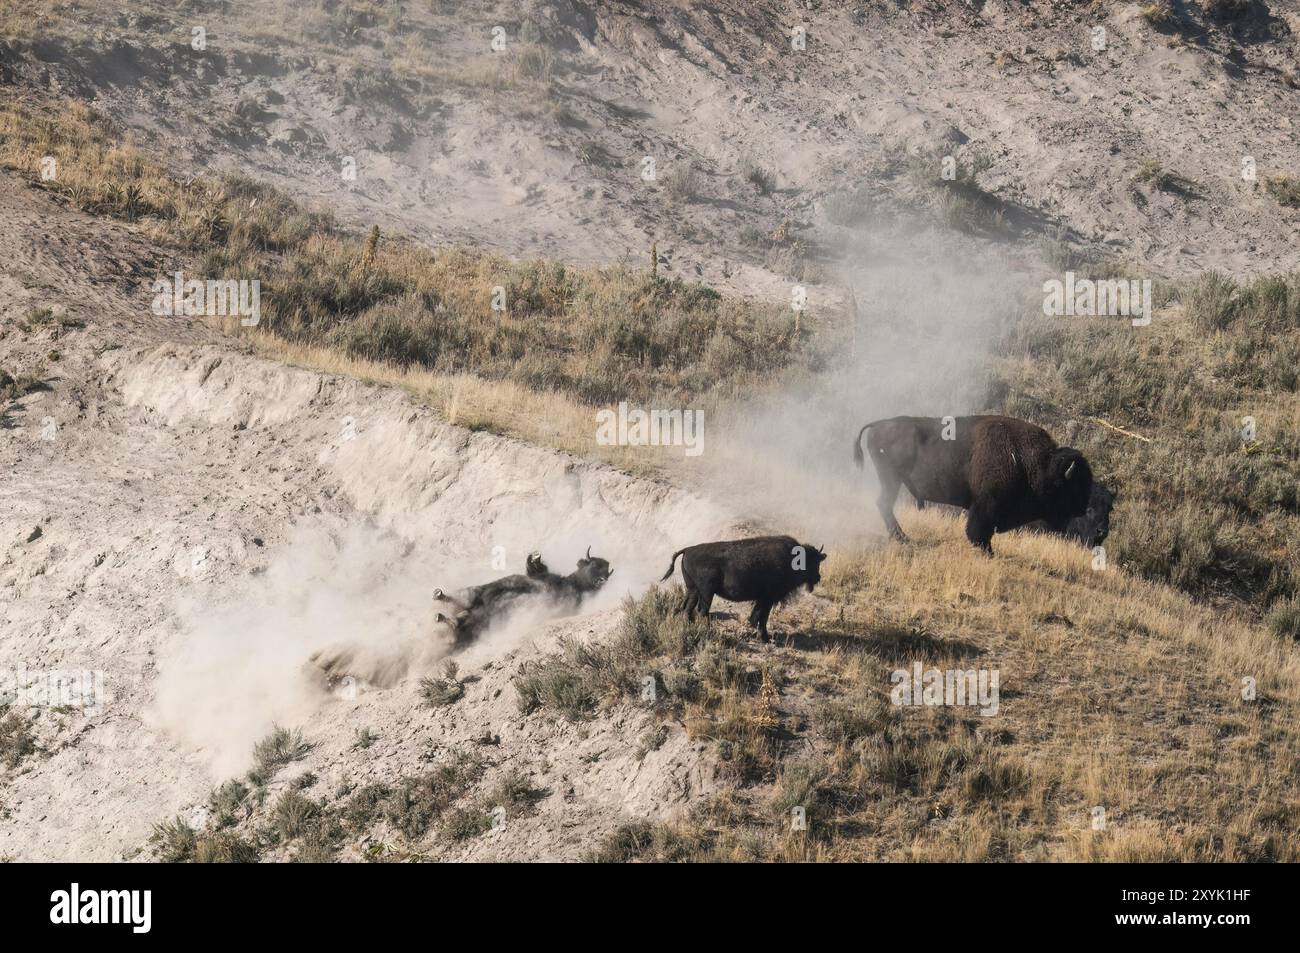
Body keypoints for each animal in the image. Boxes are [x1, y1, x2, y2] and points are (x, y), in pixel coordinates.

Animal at [434, 547, 613, 645]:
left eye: (605, 570)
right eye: (594, 564)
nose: (601, 580)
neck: (572, 583)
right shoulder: (536, 576)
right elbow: (535, 570)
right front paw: (535, 558)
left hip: (479, 621)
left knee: (459, 621)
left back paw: (444, 618)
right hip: (481, 593)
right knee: (467, 597)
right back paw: (439, 597)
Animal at [660, 535, 826, 641]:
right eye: (814, 562)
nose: (818, 577)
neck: (793, 559)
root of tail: (688, 549)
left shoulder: (763, 600)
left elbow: (758, 616)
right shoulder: (767, 599)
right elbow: (762, 618)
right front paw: (764, 638)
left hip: (693, 590)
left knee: (687, 608)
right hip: (706, 593)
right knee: (701, 611)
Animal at [853, 415, 1094, 554]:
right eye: (1075, 486)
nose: (1083, 508)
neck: (1034, 462)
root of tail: (879, 424)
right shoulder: (985, 506)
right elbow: (978, 530)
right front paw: (987, 551)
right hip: (891, 479)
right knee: (884, 503)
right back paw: (902, 538)